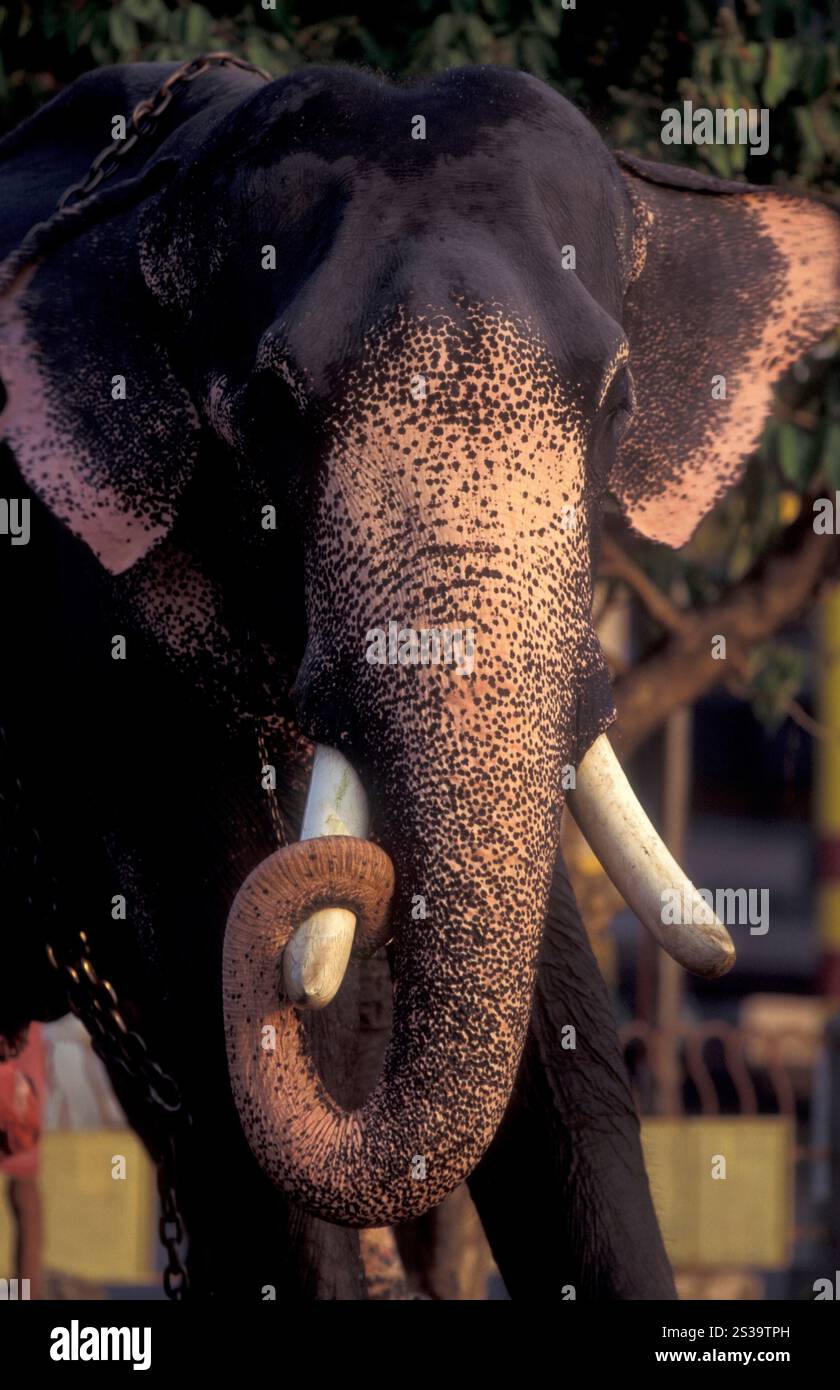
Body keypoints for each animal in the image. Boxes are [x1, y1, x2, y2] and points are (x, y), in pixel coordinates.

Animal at [0, 56, 837, 1300]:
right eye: (266, 411)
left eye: (619, 404)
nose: (355, 874)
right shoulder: (102, 635)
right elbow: (229, 1054)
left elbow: (570, 1070)